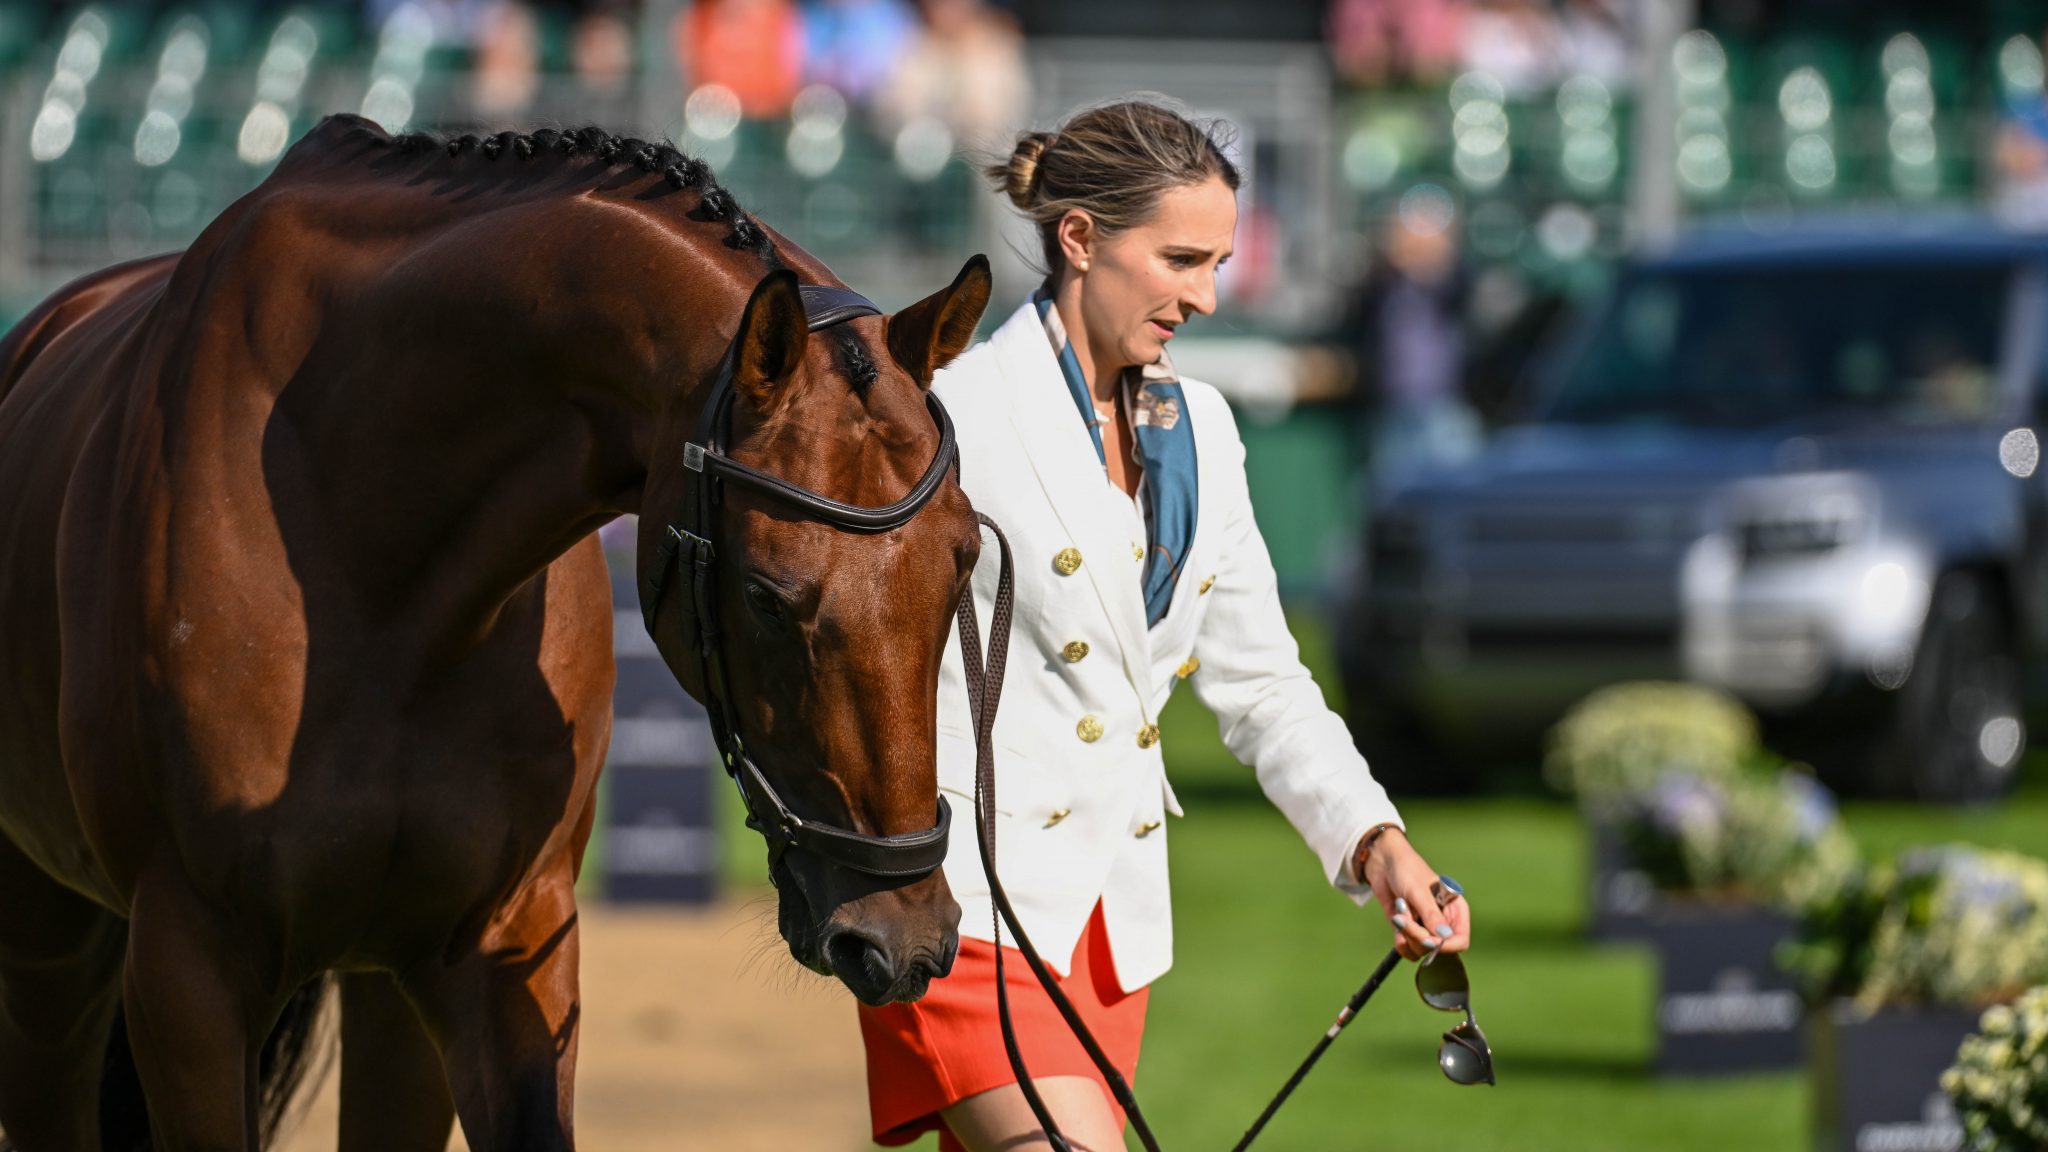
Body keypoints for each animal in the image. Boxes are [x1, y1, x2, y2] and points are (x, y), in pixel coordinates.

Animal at [0, 113, 991, 1150]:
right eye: (764, 593)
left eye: (962, 561)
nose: (904, 937)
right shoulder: (189, 973)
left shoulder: (502, 949)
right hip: (48, 950)